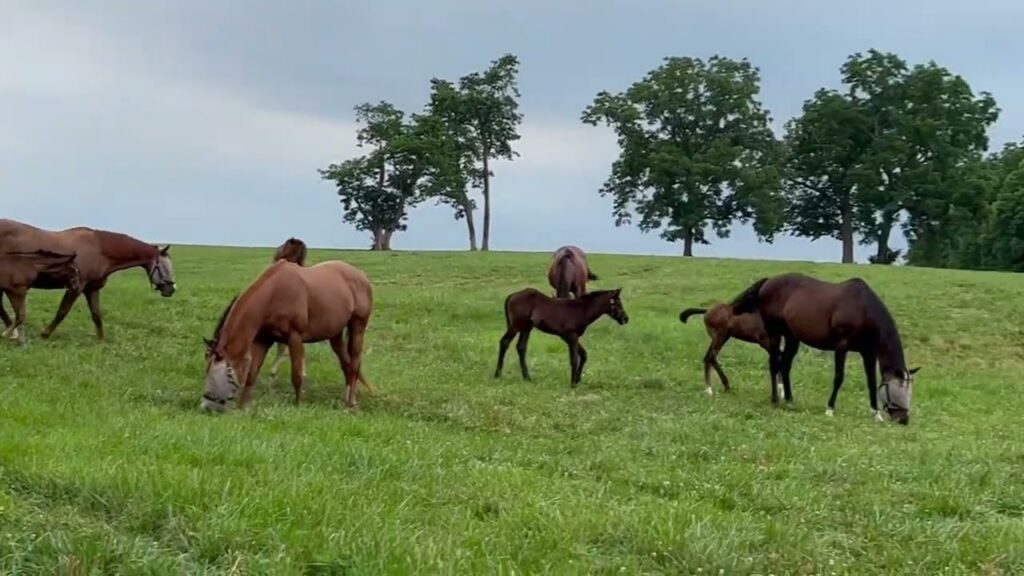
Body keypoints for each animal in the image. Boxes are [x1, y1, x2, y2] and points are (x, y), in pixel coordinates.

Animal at [0, 218, 176, 340]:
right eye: (165, 267)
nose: (171, 290)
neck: (99, 250)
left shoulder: (92, 289)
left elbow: (96, 315)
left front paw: (101, 340)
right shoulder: (76, 288)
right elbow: (62, 312)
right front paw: (45, 334)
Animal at [201, 259, 373, 412]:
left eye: (227, 374)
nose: (208, 406)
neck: (273, 295)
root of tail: (361, 275)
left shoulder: (294, 337)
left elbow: (296, 375)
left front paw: (299, 404)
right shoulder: (263, 340)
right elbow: (251, 374)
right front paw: (243, 406)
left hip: (358, 327)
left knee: (354, 364)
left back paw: (350, 403)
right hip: (335, 333)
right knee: (346, 363)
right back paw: (348, 398)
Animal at [494, 288, 628, 386]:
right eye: (618, 303)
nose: (626, 319)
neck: (582, 310)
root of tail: (512, 295)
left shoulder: (569, 337)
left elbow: (583, 355)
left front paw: (577, 379)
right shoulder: (571, 336)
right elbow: (574, 359)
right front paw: (573, 384)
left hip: (526, 327)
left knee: (521, 347)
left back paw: (527, 377)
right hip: (516, 325)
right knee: (504, 341)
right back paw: (497, 375)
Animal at [730, 272, 919, 424]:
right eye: (898, 390)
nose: (904, 419)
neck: (863, 309)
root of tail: (769, 281)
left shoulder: (869, 353)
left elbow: (871, 382)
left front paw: (876, 414)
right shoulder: (841, 346)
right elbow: (838, 378)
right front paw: (829, 409)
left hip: (792, 337)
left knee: (784, 366)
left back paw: (789, 400)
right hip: (775, 333)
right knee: (774, 365)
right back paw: (775, 399)